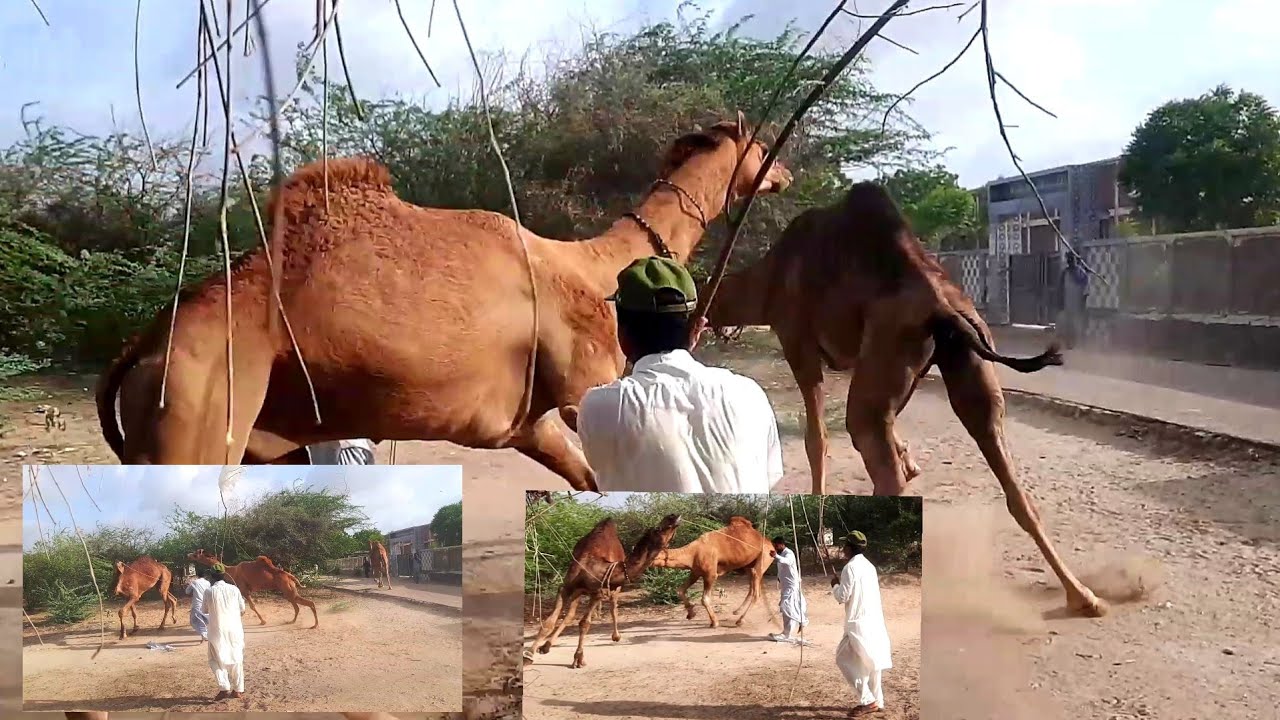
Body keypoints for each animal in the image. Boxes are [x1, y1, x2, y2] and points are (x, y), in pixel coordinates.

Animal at [95, 112, 793, 479]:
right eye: (759, 144)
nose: (785, 171)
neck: (595, 271)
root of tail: (140, 351)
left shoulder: (522, 426)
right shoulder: (584, 385)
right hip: (194, 414)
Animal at [188, 548, 319, 628]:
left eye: (195, 554)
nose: (188, 555)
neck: (232, 571)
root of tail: (290, 576)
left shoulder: (244, 590)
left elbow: (251, 606)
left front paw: (263, 621)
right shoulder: (241, 591)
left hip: (287, 589)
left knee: (309, 603)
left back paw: (314, 625)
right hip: (289, 590)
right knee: (298, 606)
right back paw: (293, 621)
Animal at [527, 513, 682, 669]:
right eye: (658, 529)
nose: (673, 516)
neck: (598, 567)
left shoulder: (597, 592)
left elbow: (584, 623)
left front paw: (578, 658)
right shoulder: (567, 587)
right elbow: (549, 622)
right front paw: (528, 655)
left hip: (610, 589)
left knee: (613, 607)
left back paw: (616, 636)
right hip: (582, 591)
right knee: (571, 614)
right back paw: (546, 646)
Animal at [704, 181, 1106, 617]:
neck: (767, 280)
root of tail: (946, 311)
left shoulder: (798, 341)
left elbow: (817, 439)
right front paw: (911, 461)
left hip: (892, 350)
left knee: (871, 446)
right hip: (966, 361)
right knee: (1009, 475)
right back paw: (1085, 597)